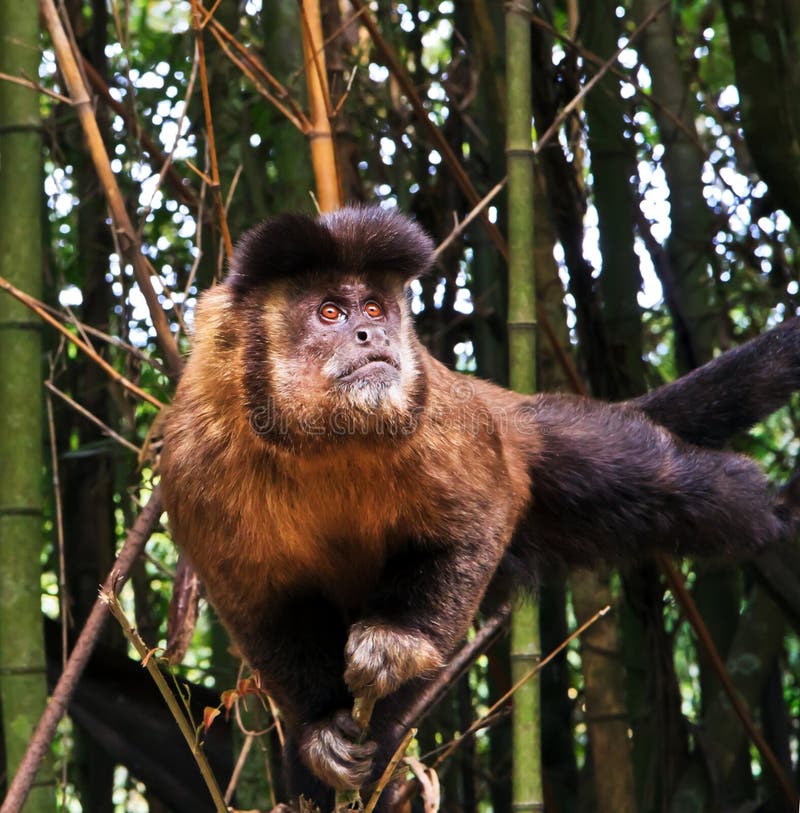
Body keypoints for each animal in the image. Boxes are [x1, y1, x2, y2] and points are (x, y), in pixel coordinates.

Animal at [160, 205, 800, 812]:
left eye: (374, 308)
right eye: (330, 313)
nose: (372, 335)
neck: (320, 439)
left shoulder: (439, 417)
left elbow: (479, 514)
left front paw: (396, 639)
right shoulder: (193, 463)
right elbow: (256, 599)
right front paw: (321, 732)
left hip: (521, 433)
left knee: (668, 486)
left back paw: (773, 513)